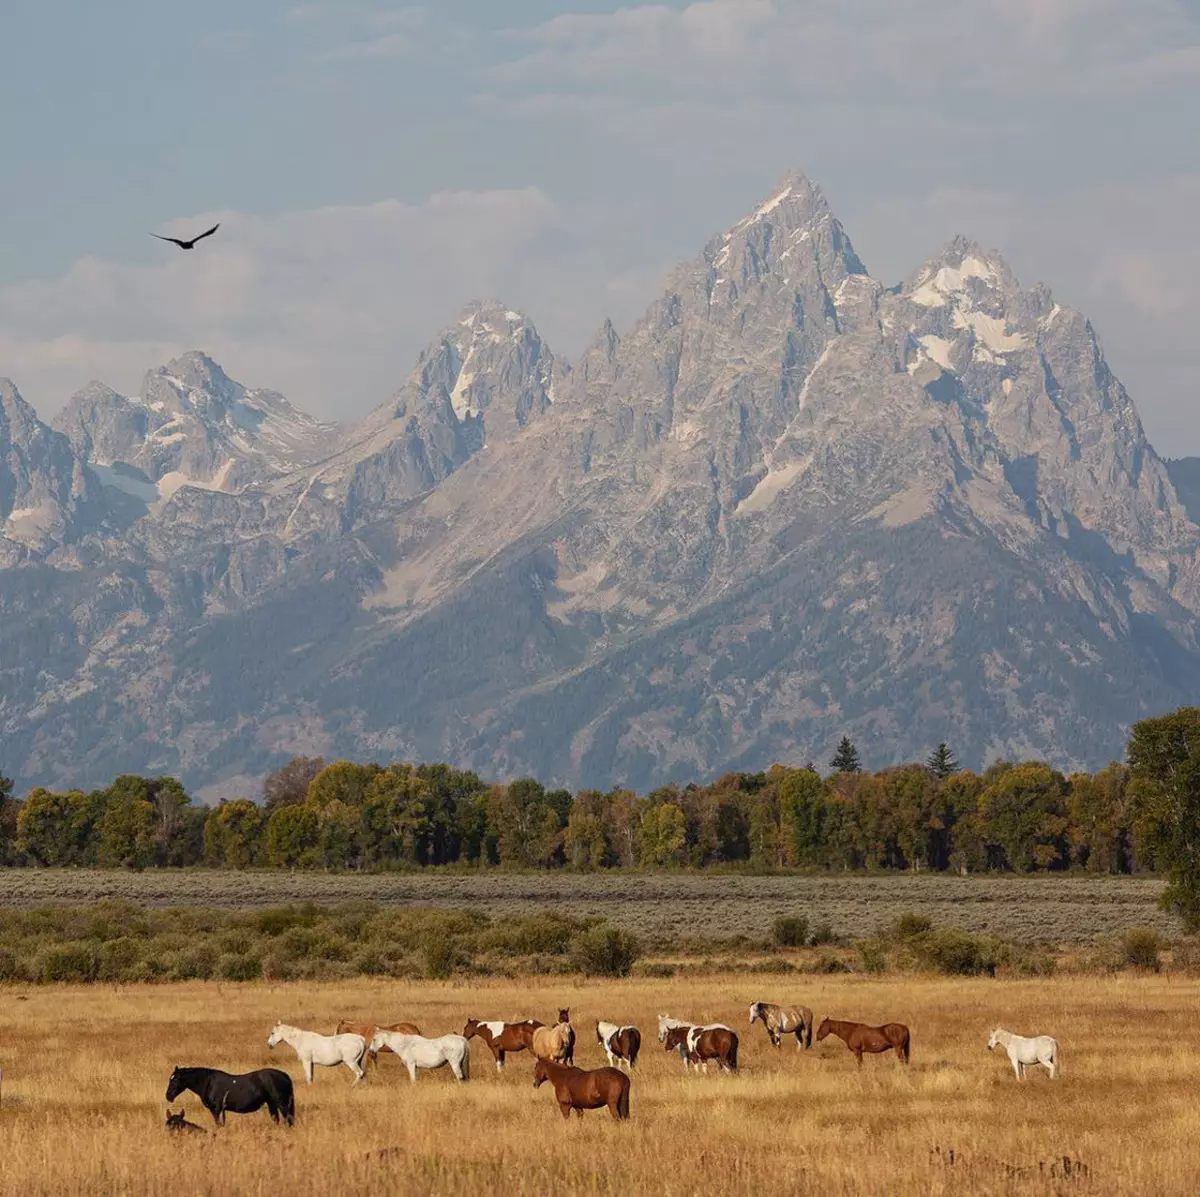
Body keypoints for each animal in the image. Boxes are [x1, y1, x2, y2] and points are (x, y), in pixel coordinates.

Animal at [165, 1074, 296, 1127]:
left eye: (175, 1080)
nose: (168, 1096)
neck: (208, 1082)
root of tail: (285, 1076)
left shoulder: (216, 1109)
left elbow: (218, 1124)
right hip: (271, 1103)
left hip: (282, 1104)